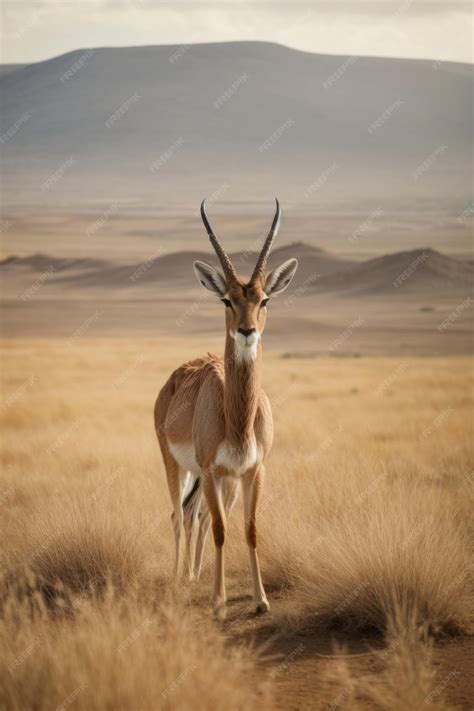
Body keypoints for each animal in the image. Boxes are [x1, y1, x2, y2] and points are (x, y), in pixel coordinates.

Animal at [154, 199, 298, 618]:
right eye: (226, 300)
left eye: (264, 299)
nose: (247, 331)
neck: (237, 420)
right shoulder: (210, 469)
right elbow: (219, 530)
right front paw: (218, 602)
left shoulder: (251, 471)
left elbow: (248, 530)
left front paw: (261, 600)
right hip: (179, 467)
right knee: (178, 514)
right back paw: (179, 578)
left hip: (219, 481)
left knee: (194, 516)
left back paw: (194, 575)